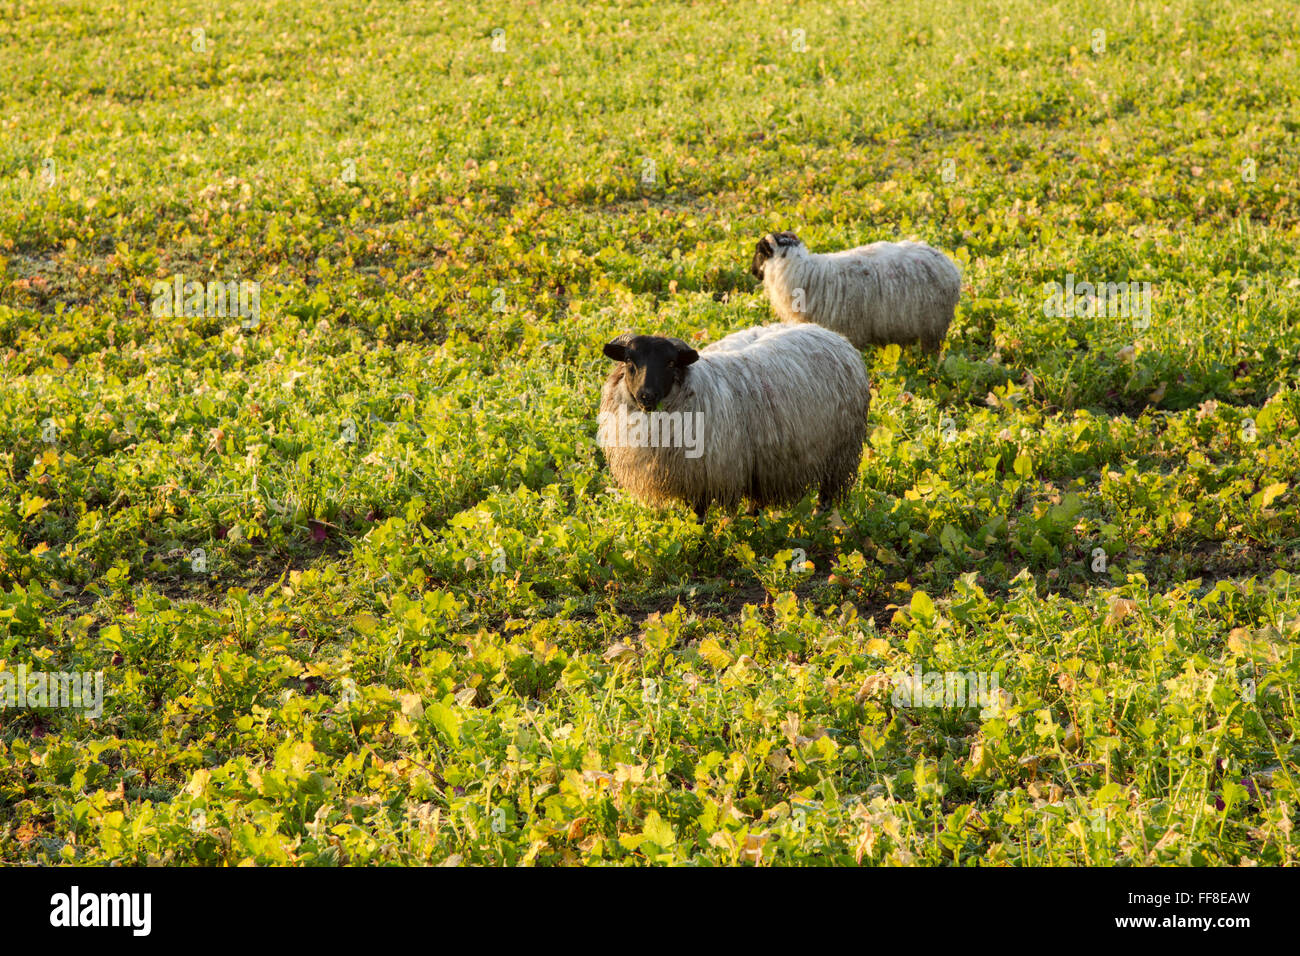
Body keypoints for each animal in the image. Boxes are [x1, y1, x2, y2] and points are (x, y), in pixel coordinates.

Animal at [597, 322, 870, 520]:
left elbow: (699, 513)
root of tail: (832, 334)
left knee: (826, 492)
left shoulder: (705, 473)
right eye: (629, 361)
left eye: (670, 362)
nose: (646, 395)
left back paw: (818, 518)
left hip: (838, 451)